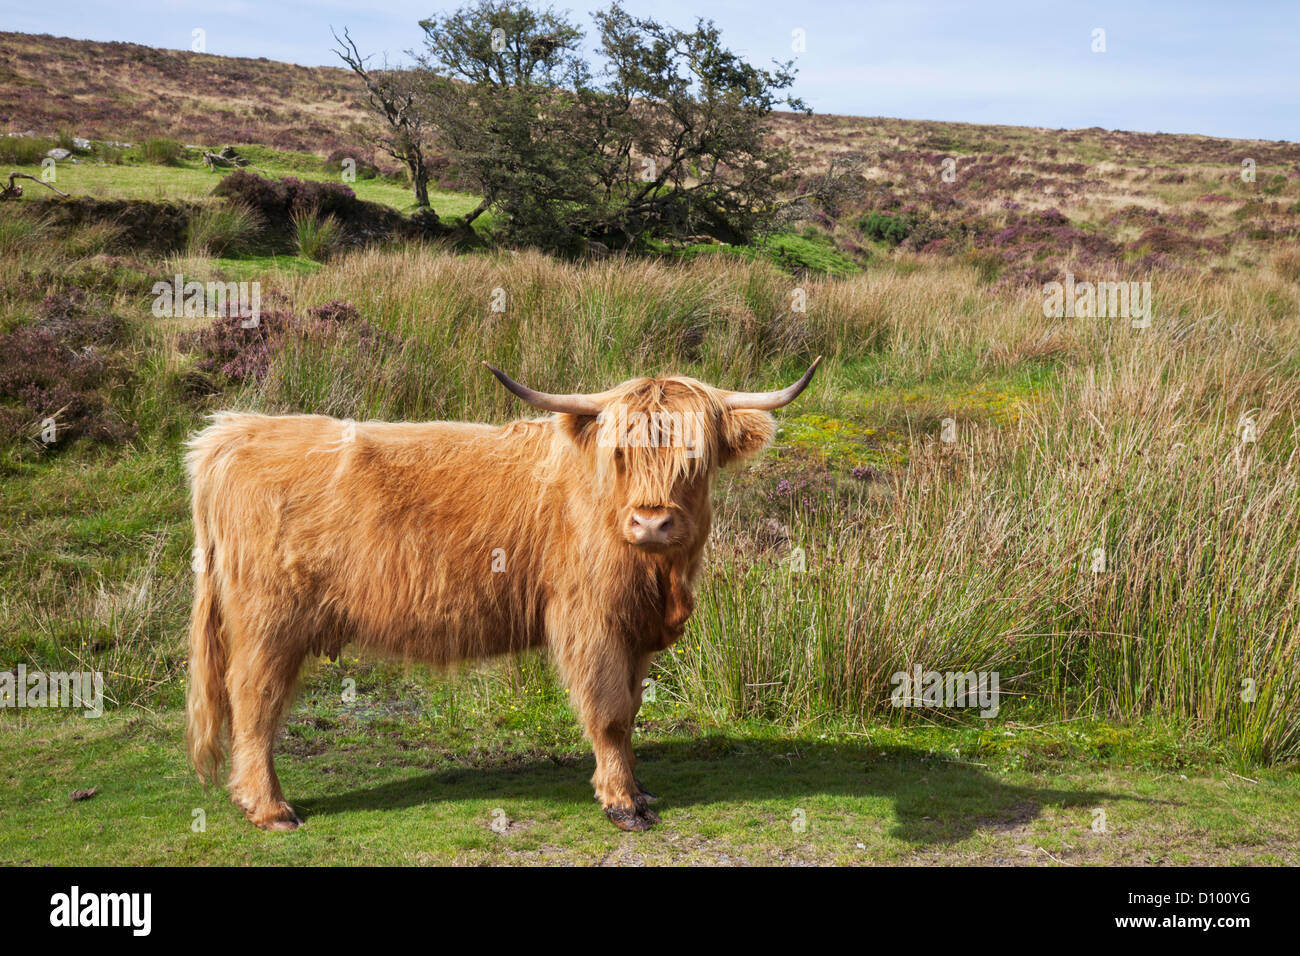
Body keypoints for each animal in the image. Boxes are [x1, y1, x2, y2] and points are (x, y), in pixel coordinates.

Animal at [185, 357, 821, 831]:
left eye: (694, 455)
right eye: (619, 454)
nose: (651, 522)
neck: (658, 577)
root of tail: (230, 432)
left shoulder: (635, 630)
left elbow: (633, 707)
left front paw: (639, 789)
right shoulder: (590, 620)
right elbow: (610, 711)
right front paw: (621, 802)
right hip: (268, 622)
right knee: (255, 703)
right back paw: (270, 808)